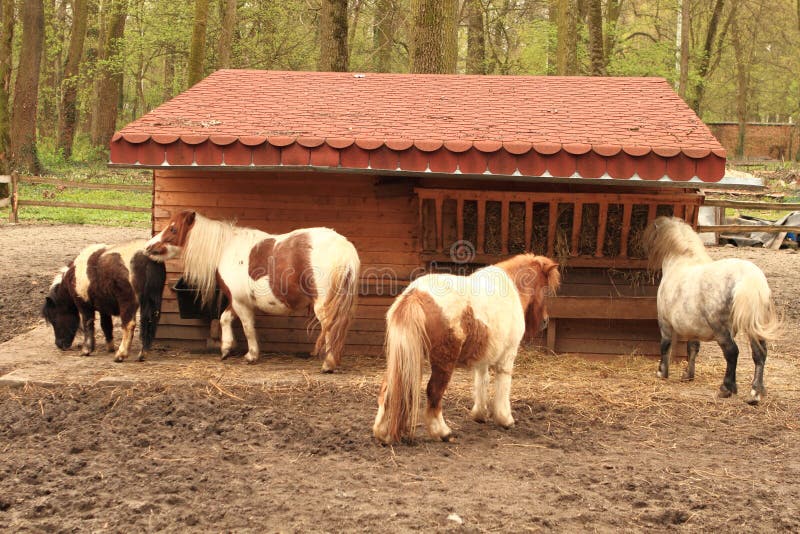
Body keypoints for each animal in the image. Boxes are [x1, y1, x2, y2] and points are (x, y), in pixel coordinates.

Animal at [145, 210, 360, 372]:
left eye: (173, 228)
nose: (148, 247)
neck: (226, 249)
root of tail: (345, 249)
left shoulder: (241, 303)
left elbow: (248, 327)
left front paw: (251, 355)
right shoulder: (236, 300)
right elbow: (224, 319)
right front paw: (226, 349)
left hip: (324, 305)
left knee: (331, 328)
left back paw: (328, 364)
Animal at [372, 253, 560, 444]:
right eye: (545, 289)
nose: (545, 321)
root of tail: (415, 295)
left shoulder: (482, 359)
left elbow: (482, 382)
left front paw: (480, 415)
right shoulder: (507, 357)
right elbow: (503, 385)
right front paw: (505, 419)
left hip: (405, 360)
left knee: (387, 389)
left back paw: (382, 432)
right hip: (444, 362)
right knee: (434, 392)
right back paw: (443, 432)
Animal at [642, 216, 780, 404]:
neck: (682, 261)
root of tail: (750, 278)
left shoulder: (665, 323)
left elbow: (665, 346)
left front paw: (661, 372)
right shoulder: (693, 327)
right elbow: (692, 348)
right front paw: (688, 375)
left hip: (722, 329)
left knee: (732, 353)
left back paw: (726, 388)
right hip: (753, 328)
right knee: (759, 354)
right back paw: (755, 393)